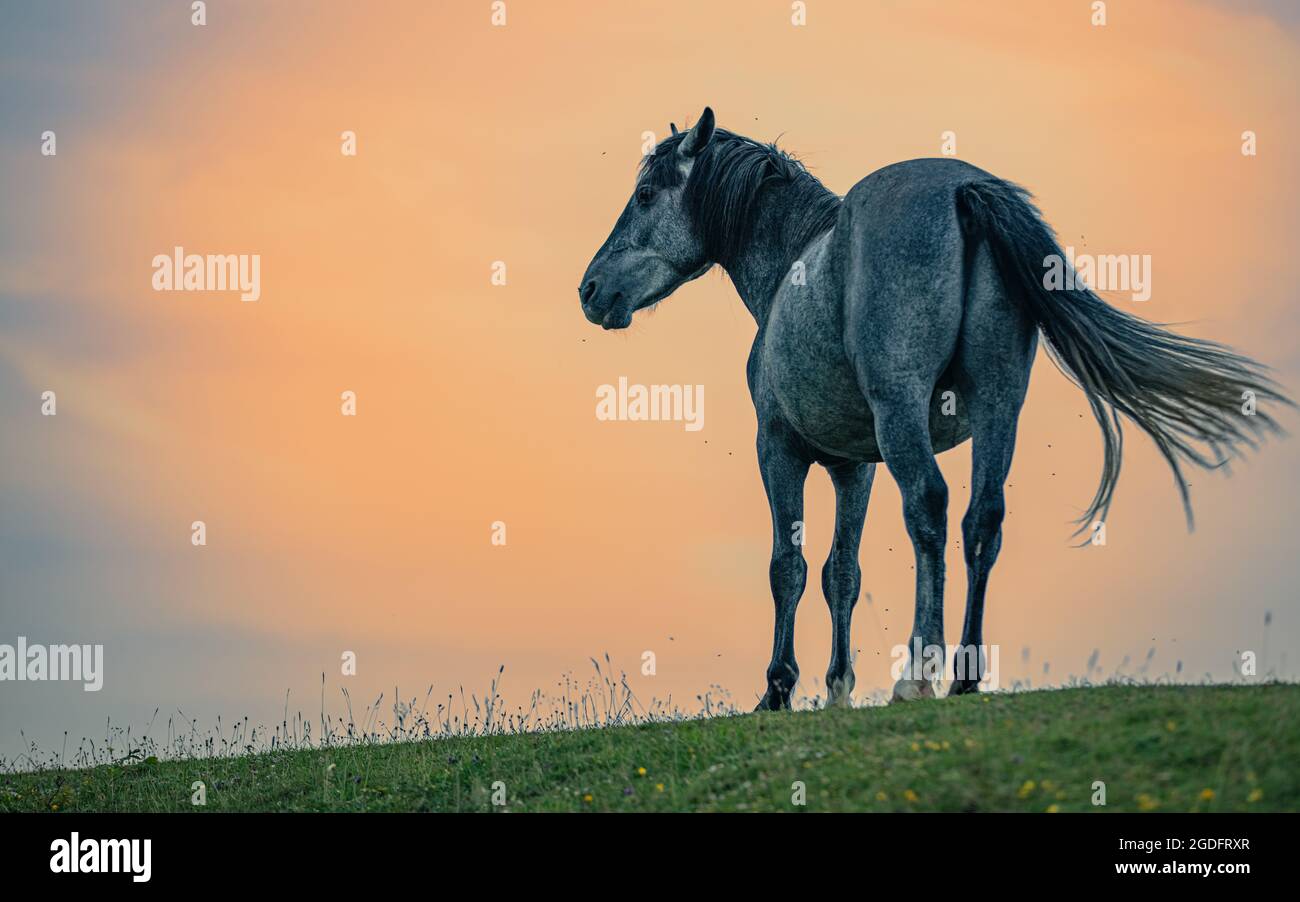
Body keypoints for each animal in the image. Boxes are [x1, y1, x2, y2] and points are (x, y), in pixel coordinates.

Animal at [577, 107, 1291, 710]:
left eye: (646, 195)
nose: (590, 289)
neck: (793, 266)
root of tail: (963, 190)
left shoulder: (780, 448)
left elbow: (790, 567)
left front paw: (779, 689)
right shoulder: (854, 466)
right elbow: (842, 572)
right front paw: (837, 688)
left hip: (902, 416)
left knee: (929, 508)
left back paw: (919, 672)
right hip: (999, 406)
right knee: (982, 520)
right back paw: (965, 675)